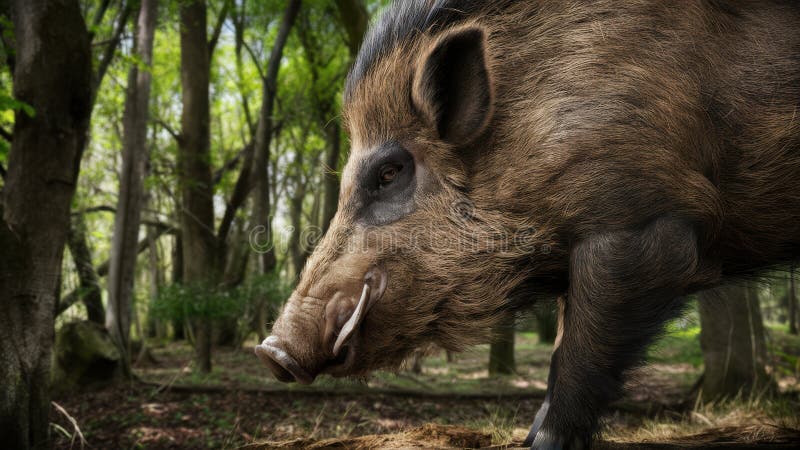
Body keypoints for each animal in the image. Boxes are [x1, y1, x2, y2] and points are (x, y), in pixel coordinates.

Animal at [256, 1, 800, 448]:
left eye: (389, 173)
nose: (271, 350)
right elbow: (559, 351)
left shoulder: (642, 225)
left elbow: (579, 357)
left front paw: (544, 442)